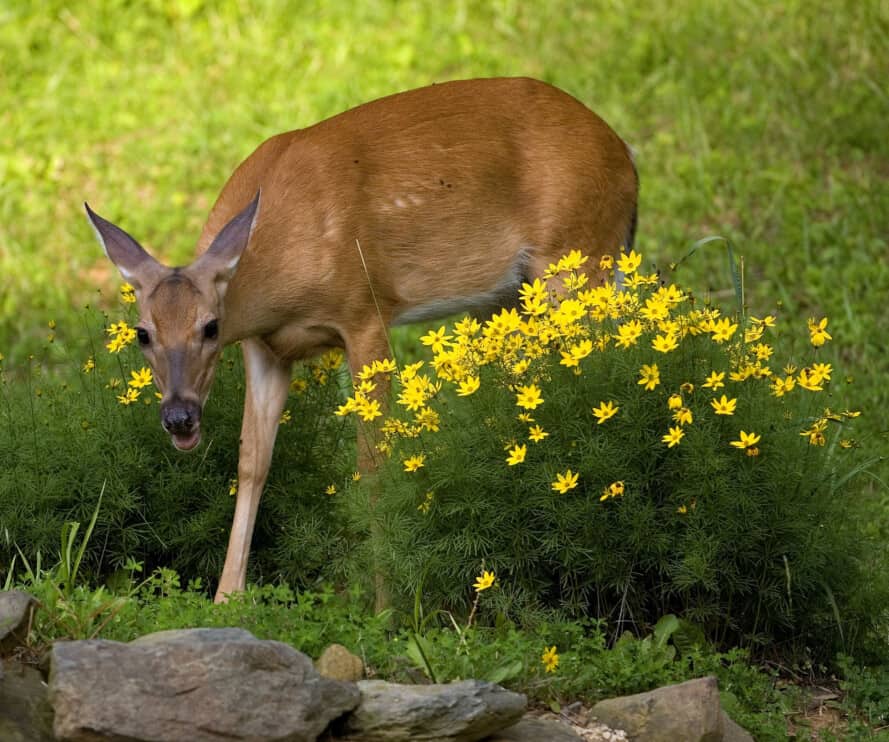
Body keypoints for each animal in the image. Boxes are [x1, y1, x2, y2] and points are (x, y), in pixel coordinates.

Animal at [85, 77, 638, 604]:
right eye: (143, 333)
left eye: (210, 327)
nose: (179, 417)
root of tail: (626, 154)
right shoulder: (265, 349)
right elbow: (252, 461)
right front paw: (227, 599)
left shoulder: (364, 313)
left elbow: (372, 466)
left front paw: (386, 602)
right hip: (506, 296)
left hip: (578, 257)